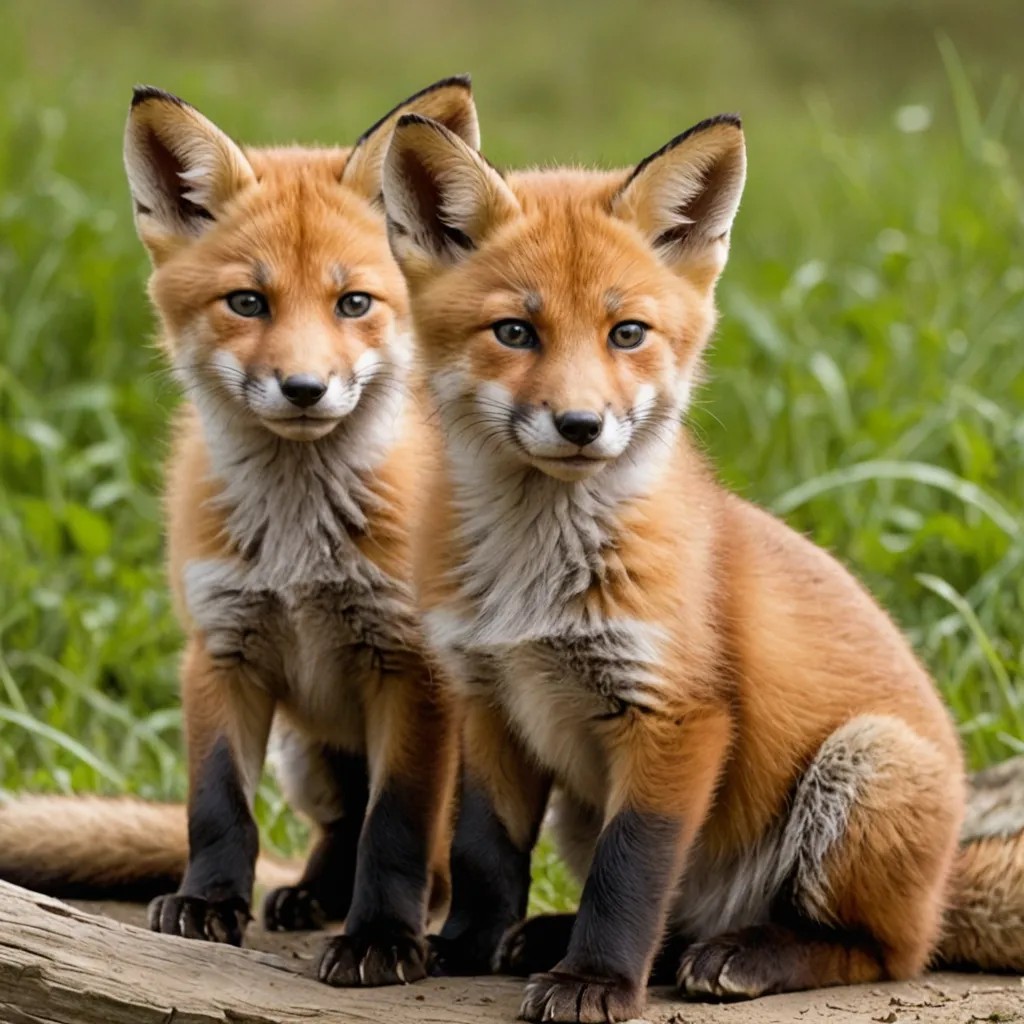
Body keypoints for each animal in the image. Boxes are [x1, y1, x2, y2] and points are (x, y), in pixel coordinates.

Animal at [0, 78, 481, 987]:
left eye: (354, 303)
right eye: (248, 302)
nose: (304, 388)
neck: (297, 543)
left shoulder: (412, 667)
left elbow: (397, 827)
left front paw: (380, 939)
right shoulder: (220, 648)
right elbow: (219, 805)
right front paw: (208, 904)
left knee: (435, 859)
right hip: (308, 752)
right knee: (334, 832)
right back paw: (310, 894)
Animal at [377, 113, 1024, 1021]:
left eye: (627, 333)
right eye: (514, 332)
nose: (580, 425)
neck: (531, 585)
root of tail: (941, 886)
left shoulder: (677, 715)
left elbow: (630, 875)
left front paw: (594, 982)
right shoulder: (489, 698)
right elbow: (485, 849)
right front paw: (464, 947)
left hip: (865, 767)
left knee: (884, 953)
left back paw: (747, 955)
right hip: (583, 812)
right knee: (677, 923)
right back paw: (558, 937)